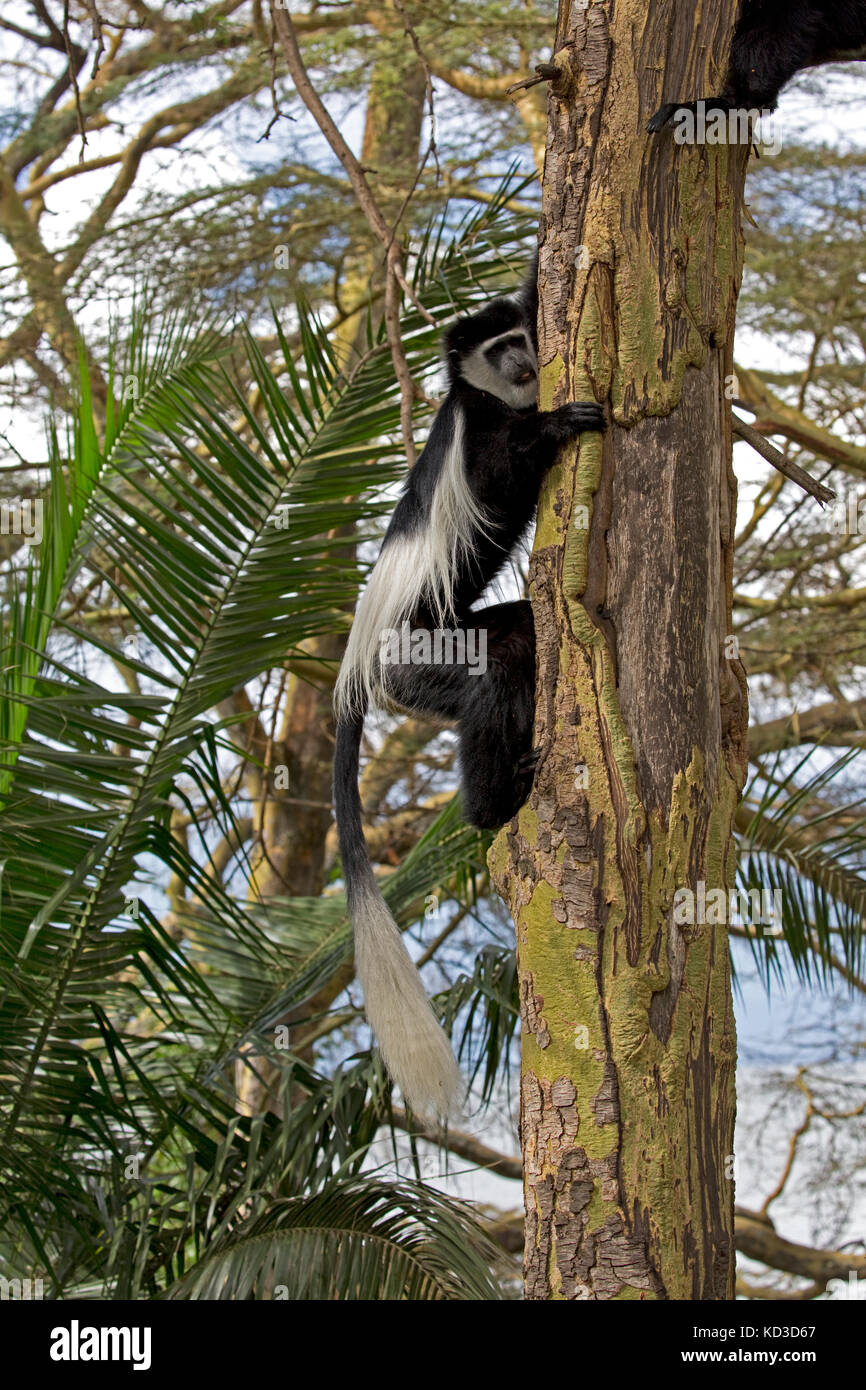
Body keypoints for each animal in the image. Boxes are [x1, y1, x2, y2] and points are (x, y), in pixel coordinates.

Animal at [332, 259, 606, 1119]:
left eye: (519, 336)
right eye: (497, 351)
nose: (523, 362)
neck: (493, 400)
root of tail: (359, 665)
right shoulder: (476, 434)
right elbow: (501, 473)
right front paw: (557, 427)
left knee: (516, 636)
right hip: (417, 660)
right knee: (489, 679)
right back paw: (493, 805)